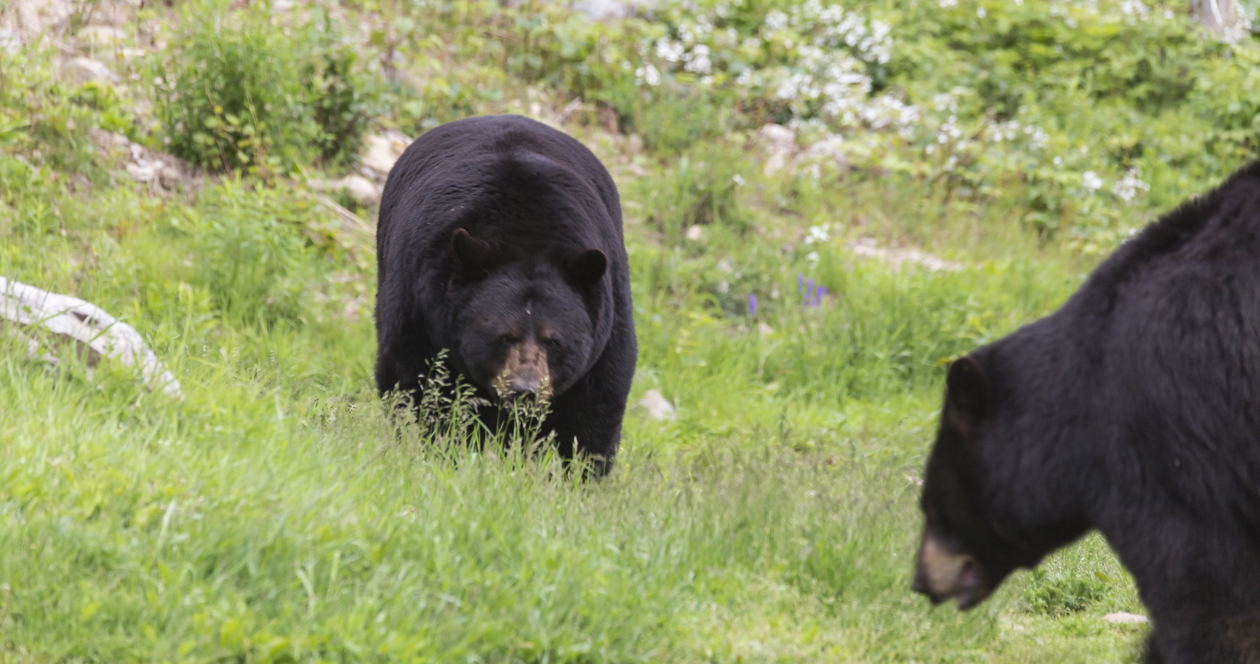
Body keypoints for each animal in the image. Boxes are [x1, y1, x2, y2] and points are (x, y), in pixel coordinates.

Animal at [374, 115, 637, 476]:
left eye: (554, 341)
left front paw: (580, 476)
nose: (525, 390)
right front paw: (438, 453)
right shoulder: (421, 306)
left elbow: (595, 407)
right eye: (503, 336)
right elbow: (416, 383)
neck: (526, 233)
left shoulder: (606, 323)